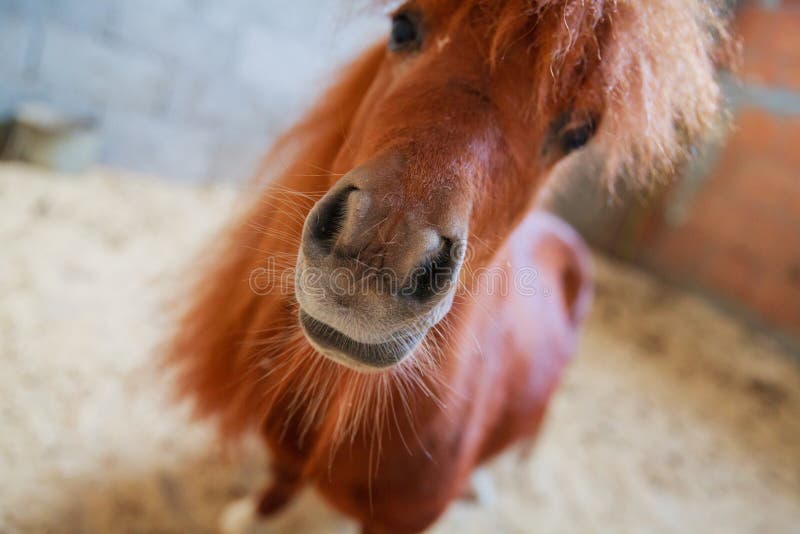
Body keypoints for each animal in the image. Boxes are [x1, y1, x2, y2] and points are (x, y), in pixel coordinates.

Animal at [167, 1, 730, 532]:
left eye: (578, 133)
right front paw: (245, 517)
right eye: (402, 27)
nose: (380, 254)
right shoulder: (284, 455)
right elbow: (277, 488)